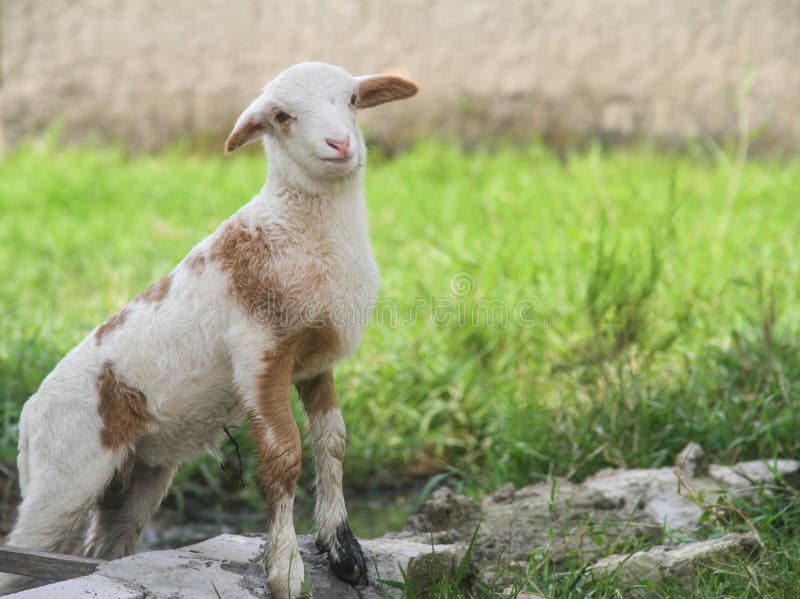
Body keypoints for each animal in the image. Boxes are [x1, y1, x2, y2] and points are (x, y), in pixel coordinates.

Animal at [0, 62, 418, 598]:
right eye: (281, 116)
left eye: (352, 99)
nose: (340, 144)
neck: (299, 229)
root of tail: (29, 416)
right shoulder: (259, 353)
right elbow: (284, 456)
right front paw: (285, 570)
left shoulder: (313, 359)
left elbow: (333, 441)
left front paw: (343, 550)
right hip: (62, 480)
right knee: (23, 555)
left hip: (135, 479)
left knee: (102, 550)